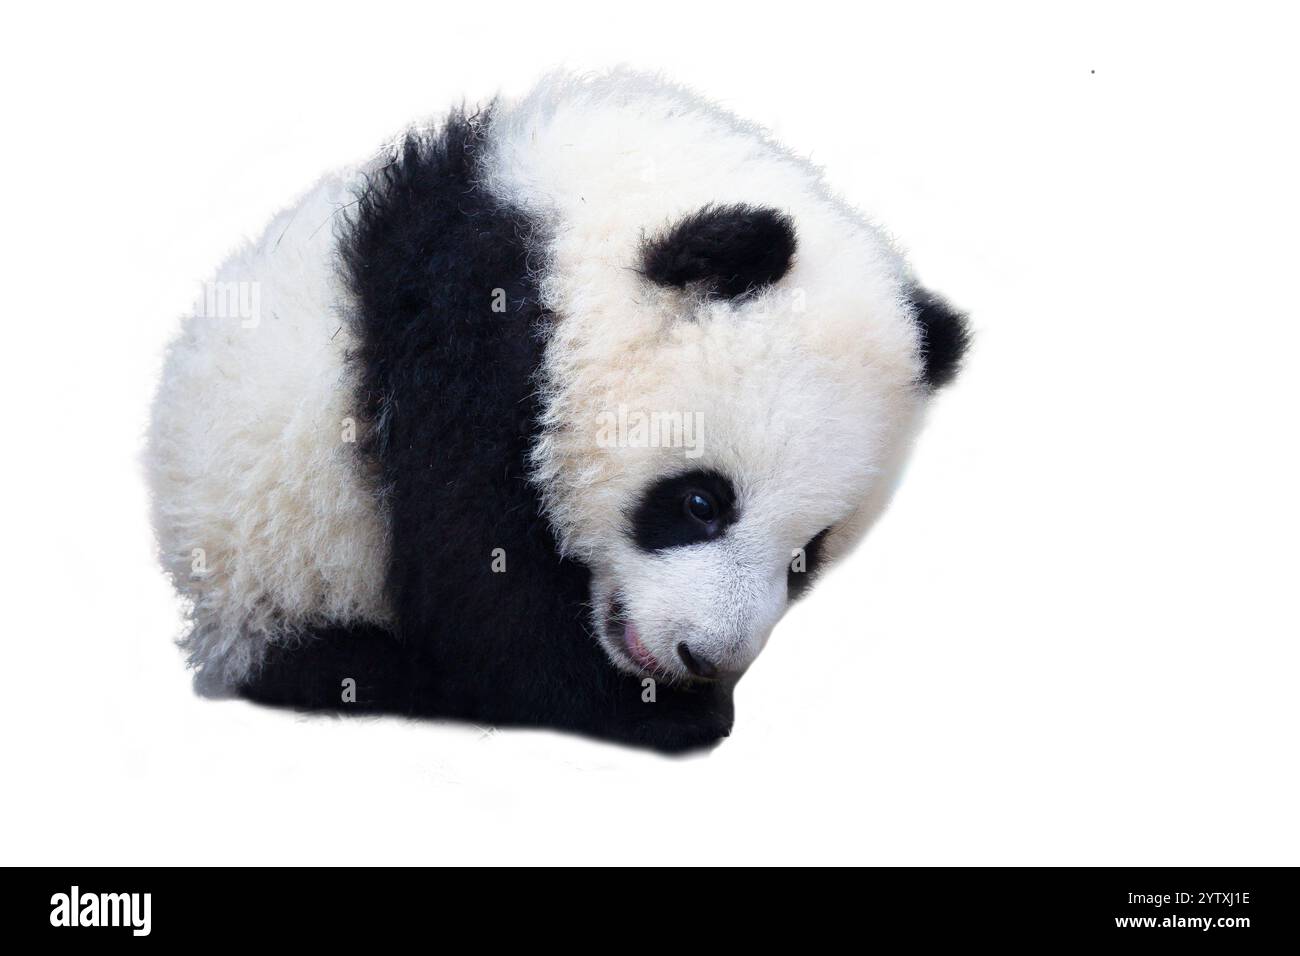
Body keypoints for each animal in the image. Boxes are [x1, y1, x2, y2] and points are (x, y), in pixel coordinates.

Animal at [147, 70, 969, 752]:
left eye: (811, 551)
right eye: (700, 503)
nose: (704, 657)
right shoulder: (462, 343)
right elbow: (478, 588)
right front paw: (660, 712)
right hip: (274, 569)